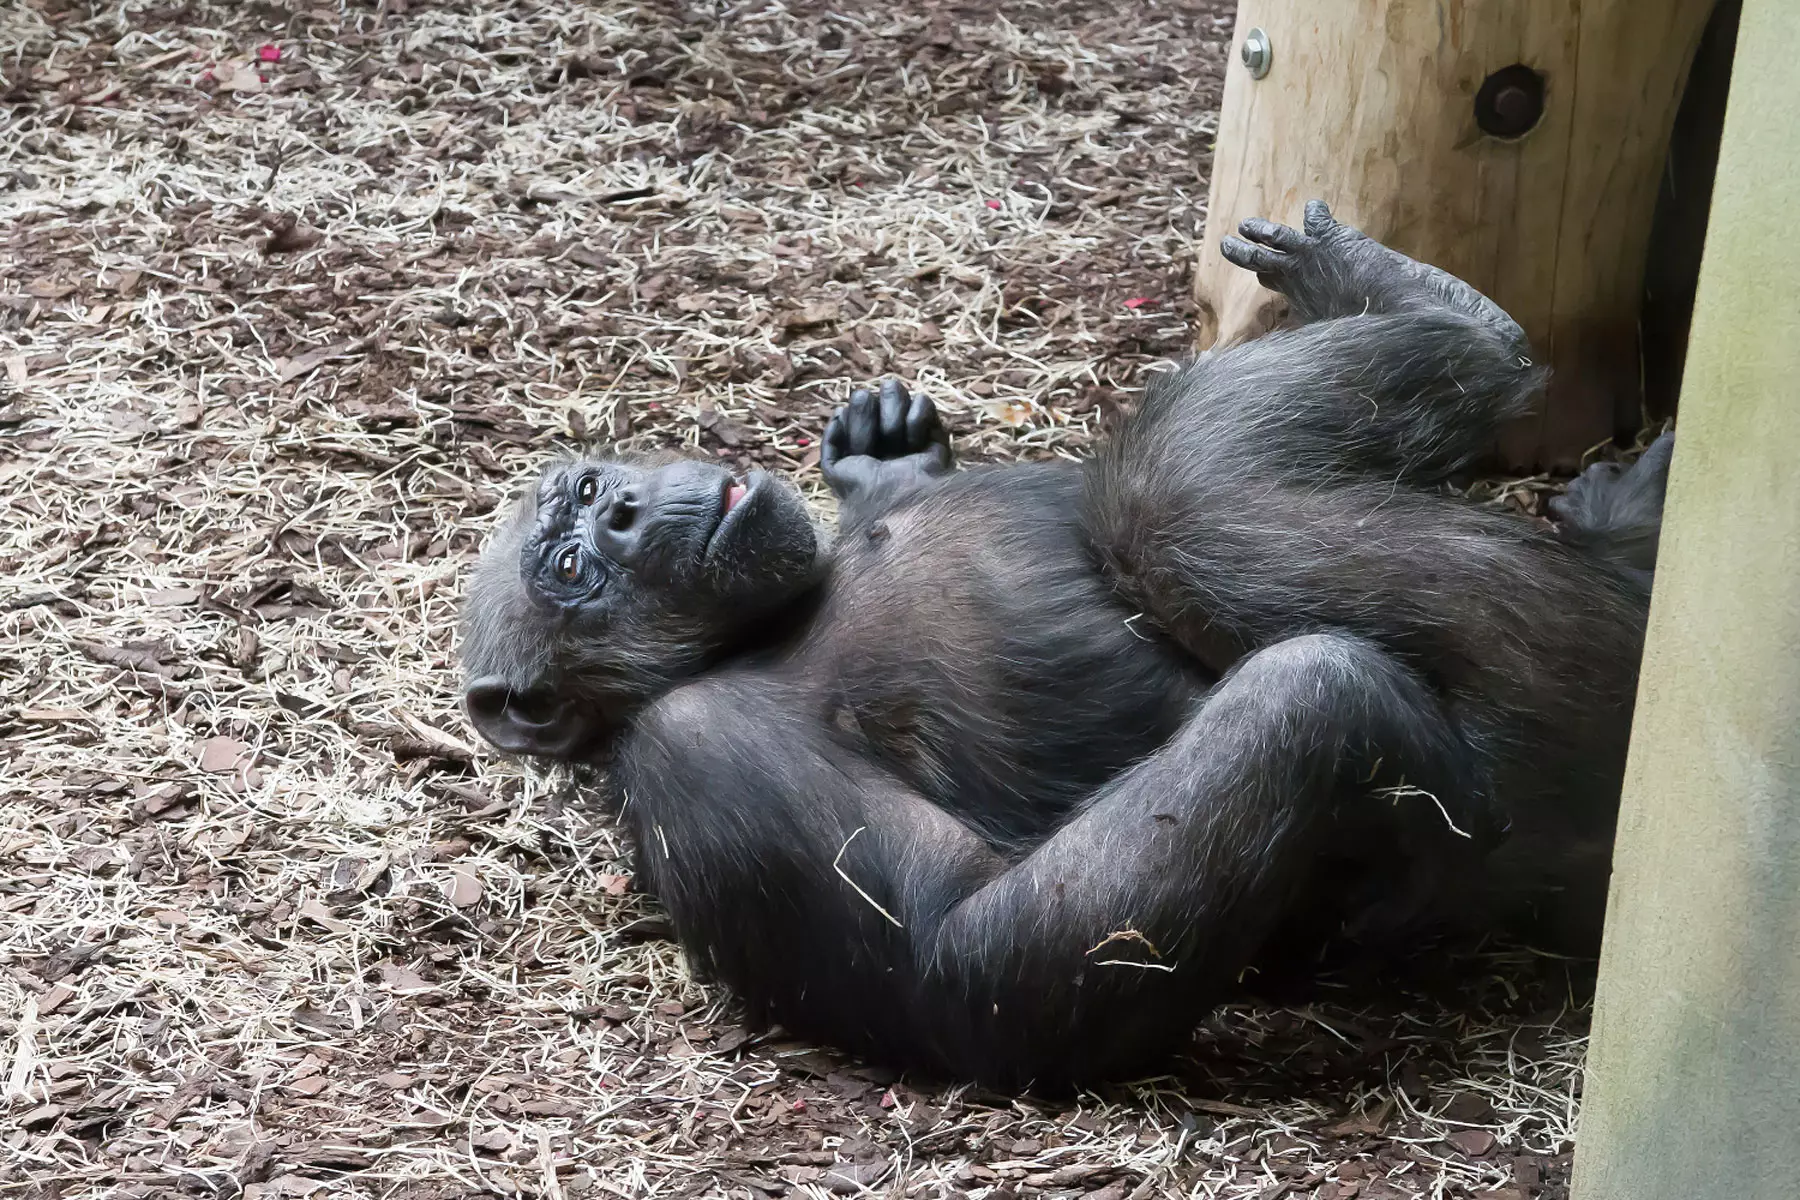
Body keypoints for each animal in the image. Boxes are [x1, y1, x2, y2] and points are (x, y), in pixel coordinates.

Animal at [457, 204, 1663, 1086]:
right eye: (569, 571)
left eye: (586, 496)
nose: (618, 516)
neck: (753, 631)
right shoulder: (700, 761)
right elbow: (974, 961)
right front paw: (1337, 709)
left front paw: (884, 460)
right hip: (1573, 719)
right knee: (1176, 503)